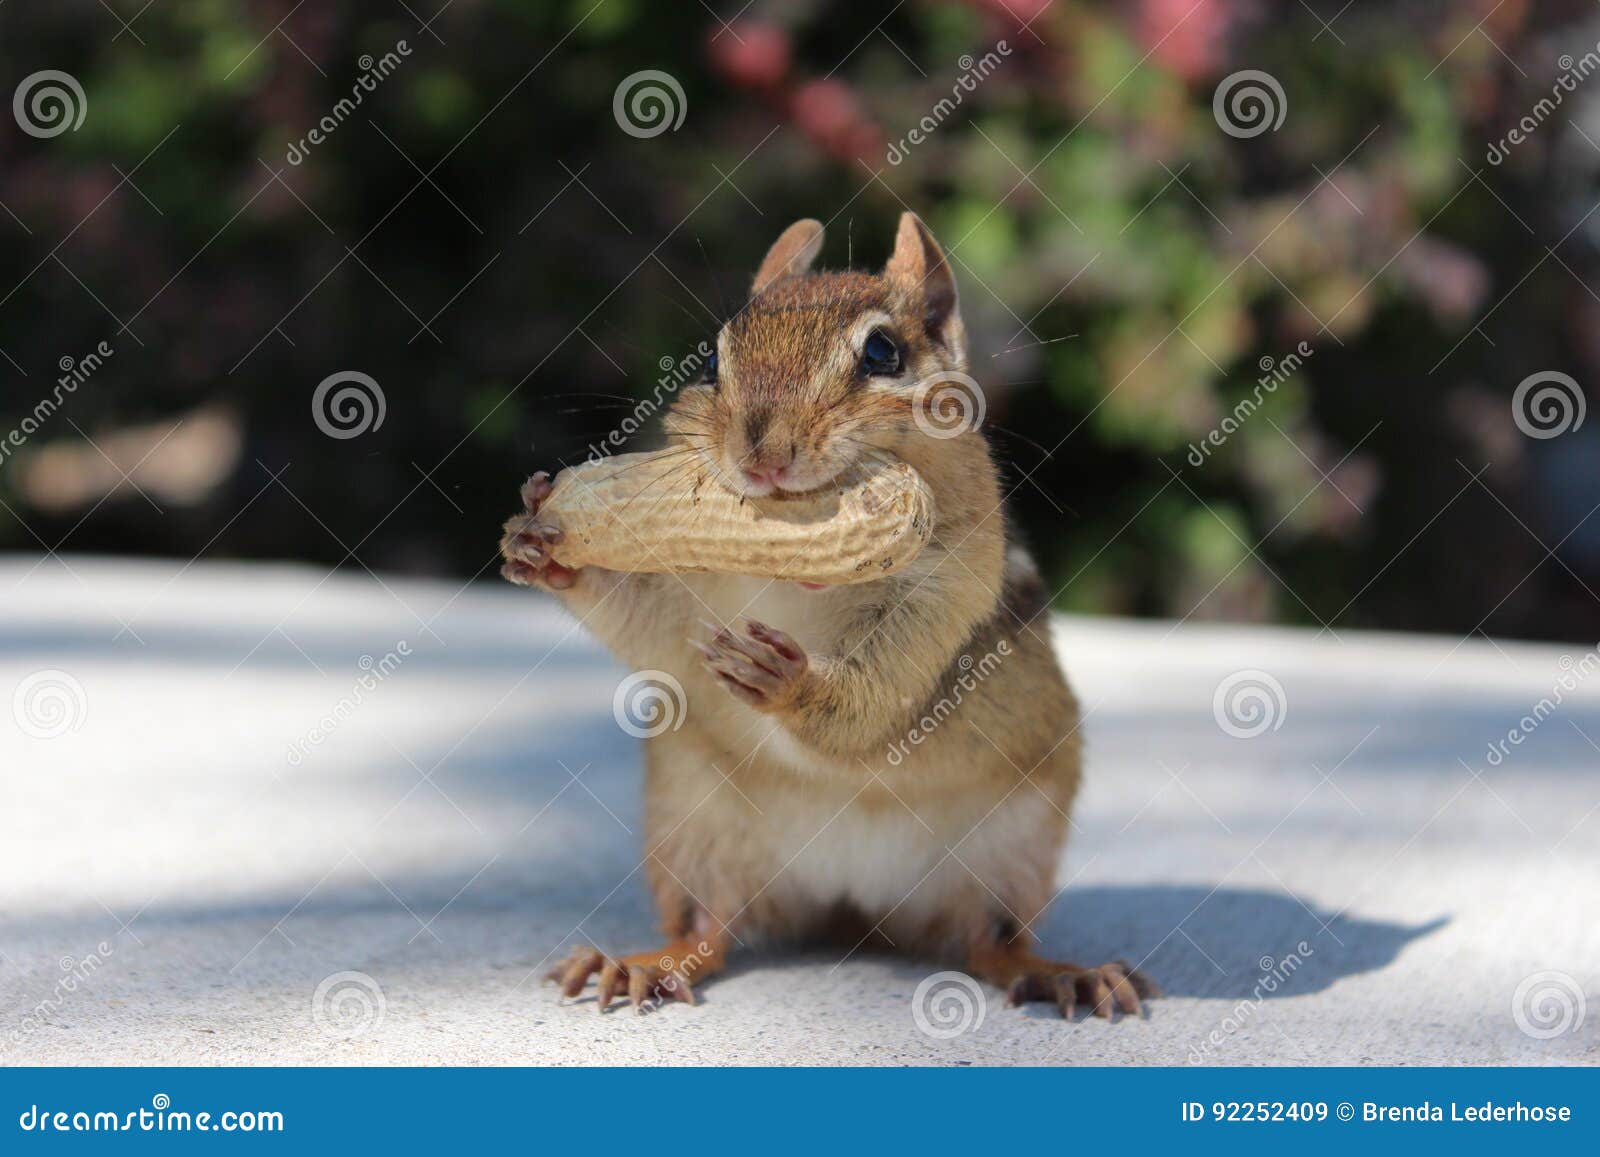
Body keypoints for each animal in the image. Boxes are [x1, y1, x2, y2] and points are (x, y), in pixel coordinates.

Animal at [500, 213, 1157, 1018]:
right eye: (712, 361)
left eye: (883, 352)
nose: (761, 453)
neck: (802, 587)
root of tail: (854, 907)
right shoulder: (686, 594)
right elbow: (649, 625)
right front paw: (541, 541)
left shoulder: (948, 595)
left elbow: (883, 695)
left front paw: (788, 683)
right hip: (693, 827)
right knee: (711, 931)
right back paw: (640, 964)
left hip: (1014, 850)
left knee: (989, 943)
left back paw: (1062, 971)